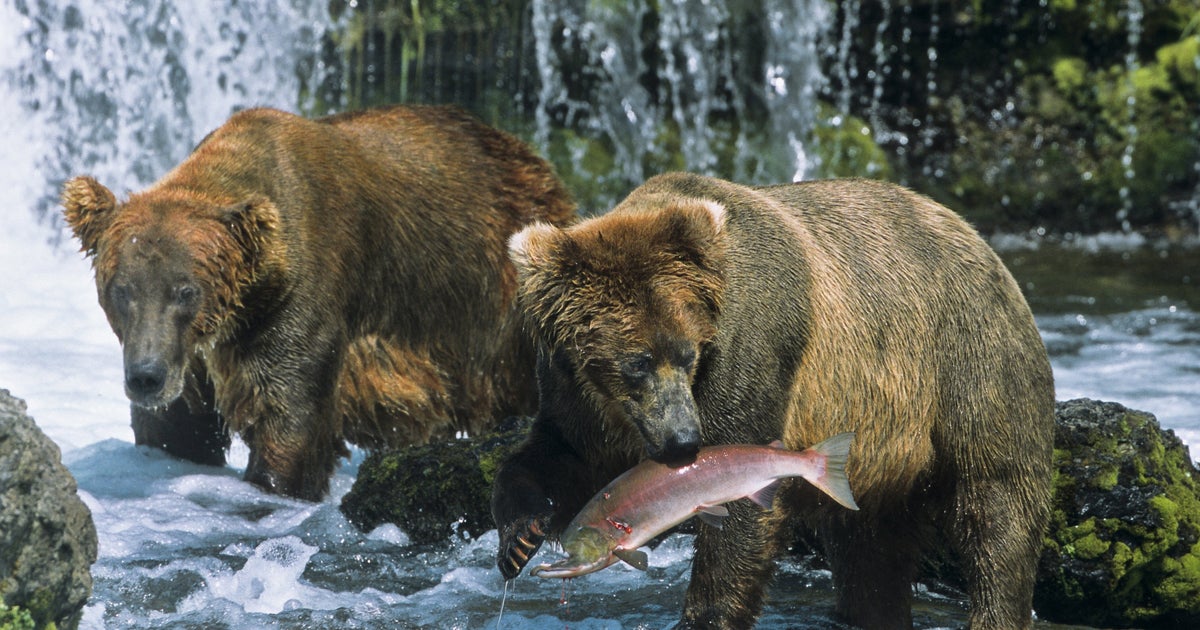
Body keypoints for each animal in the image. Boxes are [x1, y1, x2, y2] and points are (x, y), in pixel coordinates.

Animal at [62, 104, 575, 501]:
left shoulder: (299, 300)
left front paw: (275, 479)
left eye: (185, 291)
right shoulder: (190, 358)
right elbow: (179, 431)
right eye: (122, 290)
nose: (145, 377)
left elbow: (290, 419)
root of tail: (533, 160)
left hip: (497, 309)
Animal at [491, 172, 1055, 629]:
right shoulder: (575, 395)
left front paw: (704, 615)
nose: (683, 441)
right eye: (637, 362)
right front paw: (519, 538)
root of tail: (974, 235)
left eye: (688, 353)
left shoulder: (749, 350)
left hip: (968, 359)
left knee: (997, 506)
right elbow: (556, 455)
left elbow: (741, 502)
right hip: (881, 444)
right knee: (869, 548)